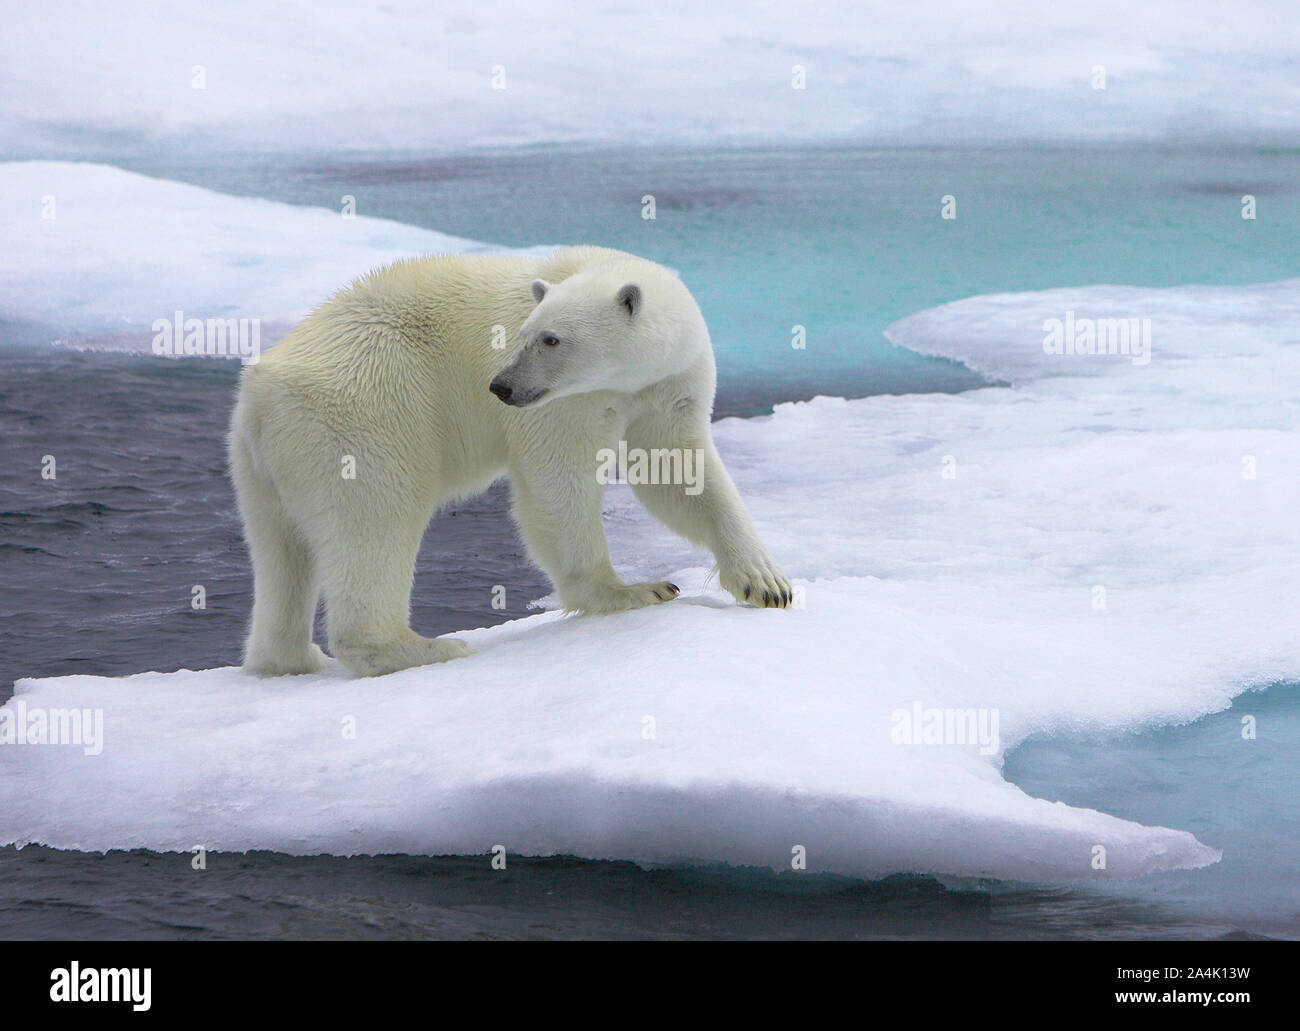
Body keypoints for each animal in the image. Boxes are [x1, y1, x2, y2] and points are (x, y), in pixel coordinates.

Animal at [228, 245, 791, 677]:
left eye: (551, 338)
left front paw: (766, 582)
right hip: (368, 412)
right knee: (376, 520)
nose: (500, 387)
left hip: (262, 465)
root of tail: (261, 396)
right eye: (521, 335)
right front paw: (635, 589)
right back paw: (420, 647)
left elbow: (677, 471)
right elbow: (557, 479)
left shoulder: (669, 385)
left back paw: (291, 658)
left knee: (281, 551)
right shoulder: (565, 403)